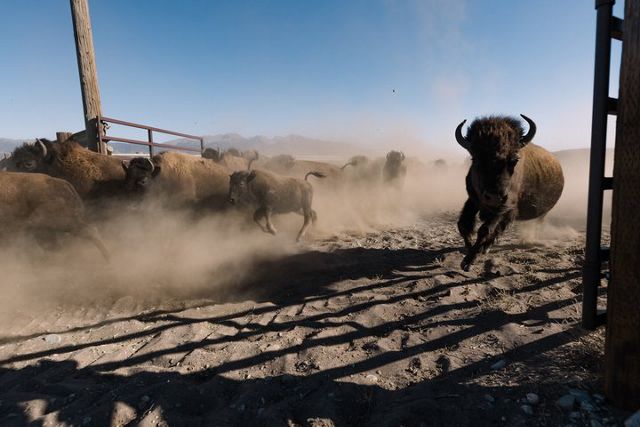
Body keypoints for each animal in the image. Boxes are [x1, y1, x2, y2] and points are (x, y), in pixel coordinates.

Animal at [455, 114, 564, 270]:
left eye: (514, 160)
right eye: (475, 159)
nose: (494, 196)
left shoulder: (504, 206)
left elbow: (485, 230)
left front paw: (469, 261)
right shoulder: (473, 200)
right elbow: (463, 225)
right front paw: (469, 249)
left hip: (540, 212)